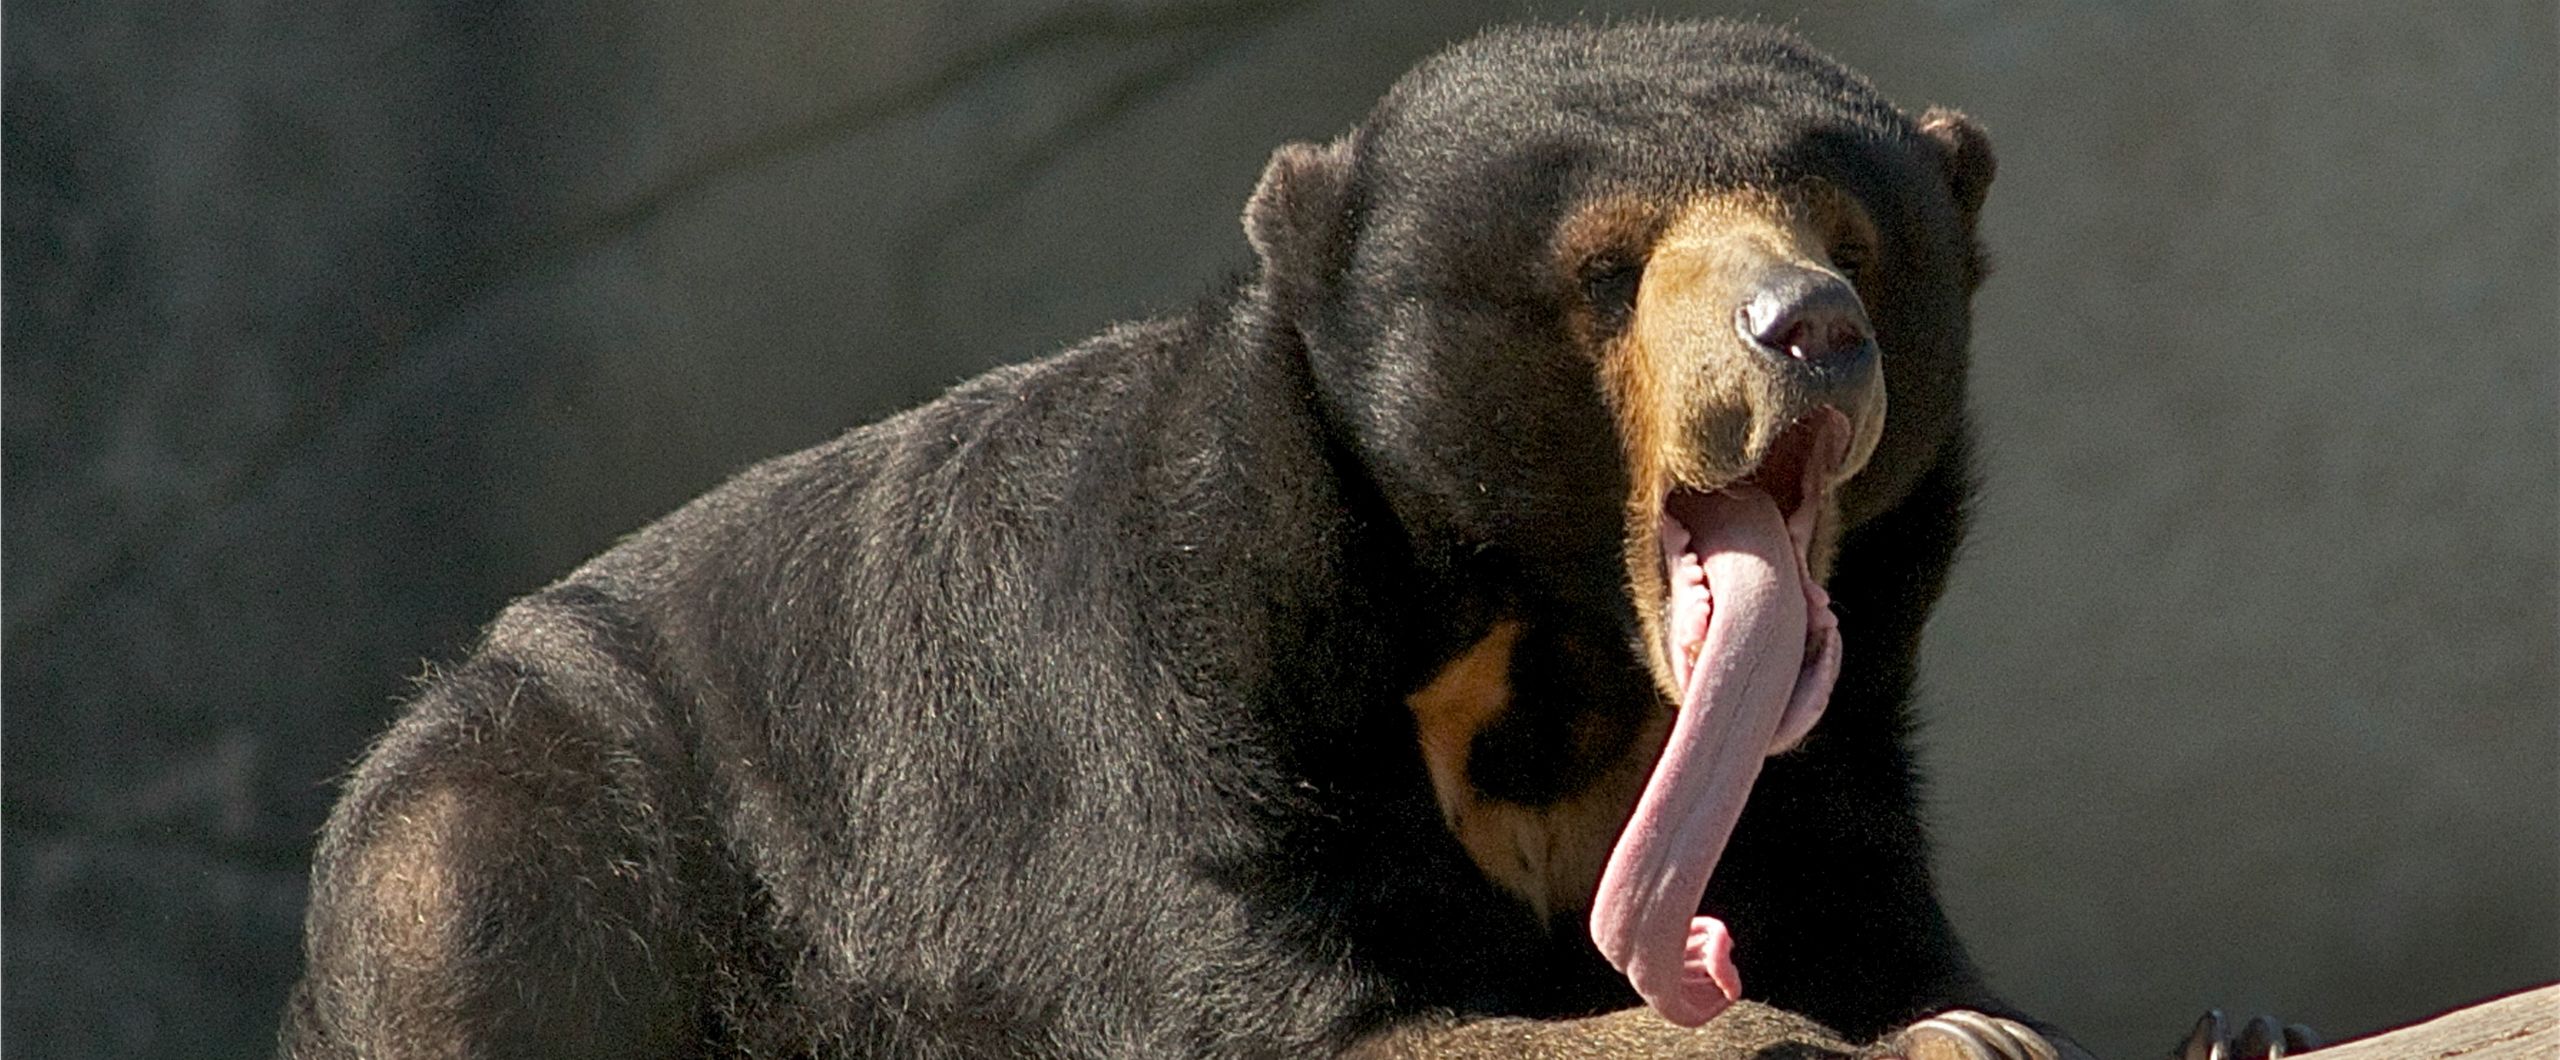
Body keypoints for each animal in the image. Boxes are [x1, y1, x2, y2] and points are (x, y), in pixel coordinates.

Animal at [281, 19, 2088, 1060]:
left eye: (1855, 242)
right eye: (1608, 270)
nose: (1810, 333)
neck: (1554, 654)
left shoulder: (1834, 757)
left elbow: (1867, 910)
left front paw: (1961, 1025)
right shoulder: (1176, 662)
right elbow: (1283, 1005)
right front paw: (1813, 1035)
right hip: (518, 821)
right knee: (467, 932)